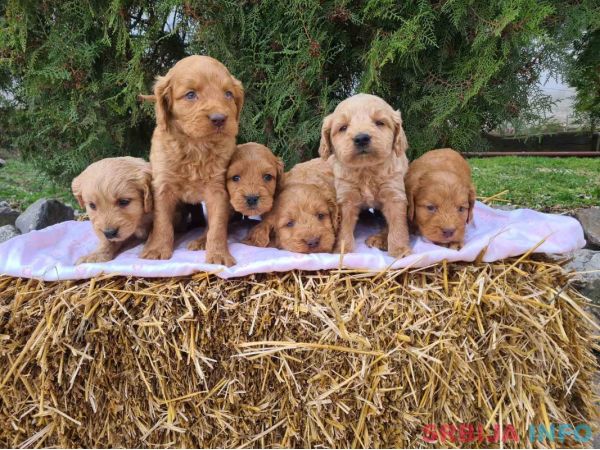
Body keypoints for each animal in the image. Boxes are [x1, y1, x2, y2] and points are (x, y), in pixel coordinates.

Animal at [141, 56, 244, 268]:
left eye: (228, 94)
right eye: (190, 95)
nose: (219, 119)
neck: (196, 147)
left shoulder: (218, 189)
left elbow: (217, 225)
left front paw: (218, 253)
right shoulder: (163, 185)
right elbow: (162, 221)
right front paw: (157, 248)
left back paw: (200, 241)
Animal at [318, 94, 412, 256]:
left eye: (380, 122)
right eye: (343, 127)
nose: (361, 138)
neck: (366, 169)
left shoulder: (394, 194)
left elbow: (397, 225)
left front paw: (400, 250)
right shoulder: (346, 198)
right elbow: (344, 228)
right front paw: (343, 250)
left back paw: (380, 239)